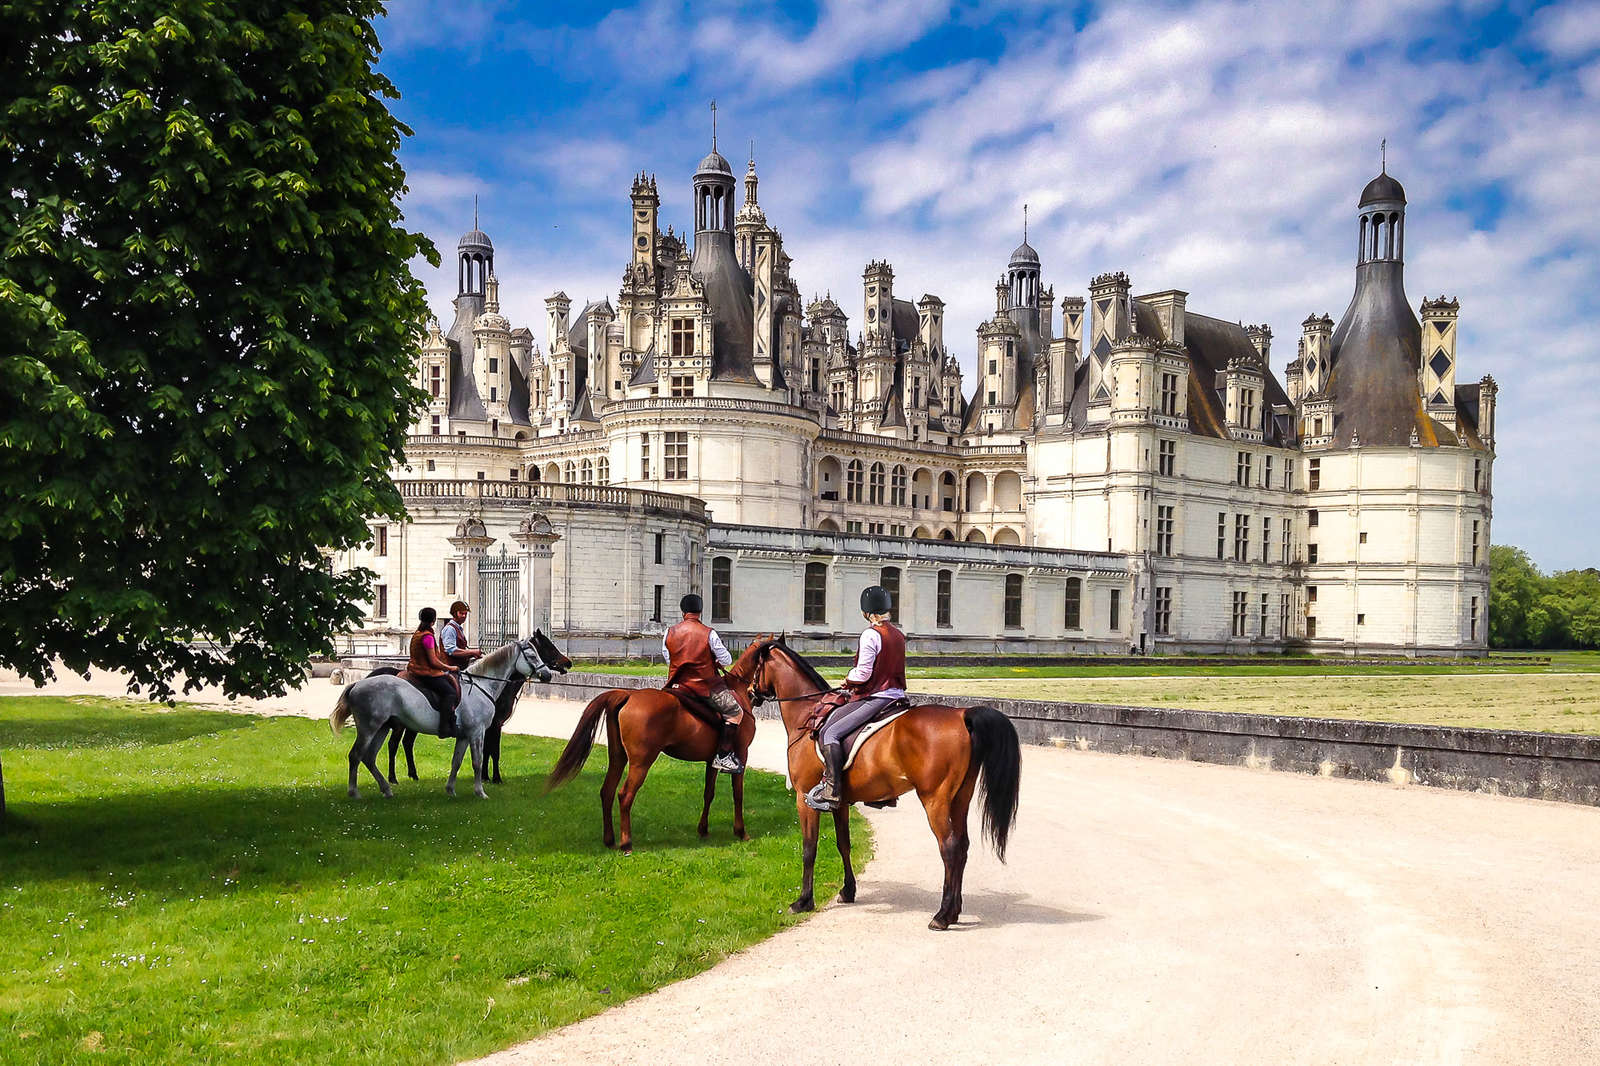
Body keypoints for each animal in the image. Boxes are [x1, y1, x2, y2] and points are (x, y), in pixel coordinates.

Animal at [331, 637, 553, 799]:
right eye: (532, 655)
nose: (548, 675)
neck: (481, 685)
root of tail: (357, 685)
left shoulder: (464, 736)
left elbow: (456, 762)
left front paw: (450, 790)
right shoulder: (477, 733)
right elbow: (478, 762)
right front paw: (480, 792)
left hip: (382, 728)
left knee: (369, 758)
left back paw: (387, 789)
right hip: (370, 729)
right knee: (356, 755)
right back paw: (354, 792)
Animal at [372, 628, 573, 784]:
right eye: (547, 646)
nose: (568, 662)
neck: (486, 683)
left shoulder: (488, 726)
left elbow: (487, 750)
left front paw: (485, 776)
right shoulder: (494, 725)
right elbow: (493, 751)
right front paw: (495, 778)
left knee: (407, 743)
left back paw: (413, 775)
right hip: (400, 724)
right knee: (393, 745)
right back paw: (393, 778)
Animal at [544, 640, 762, 853]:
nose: (755, 694)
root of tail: (628, 695)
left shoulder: (711, 760)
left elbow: (709, 793)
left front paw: (703, 830)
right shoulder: (741, 754)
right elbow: (738, 794)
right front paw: (741, 832)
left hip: (618, 757)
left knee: (607, 791)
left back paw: (610, 840)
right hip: (641, 763)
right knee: (625, 795)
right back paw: (626, 843)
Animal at [744, 637, 1021, 930]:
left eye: (753, 661)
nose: (748, 692)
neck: (808, 714)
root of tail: (961, 715)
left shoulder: (803, 798)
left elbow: (809, 849)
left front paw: (803, 901)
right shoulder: (840, 803)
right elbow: (843, 844)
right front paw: (848, 890)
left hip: (935, 800)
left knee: (950, 848)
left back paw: (942, 915)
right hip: (960, 799)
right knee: (963, 846)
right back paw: (954, 911)